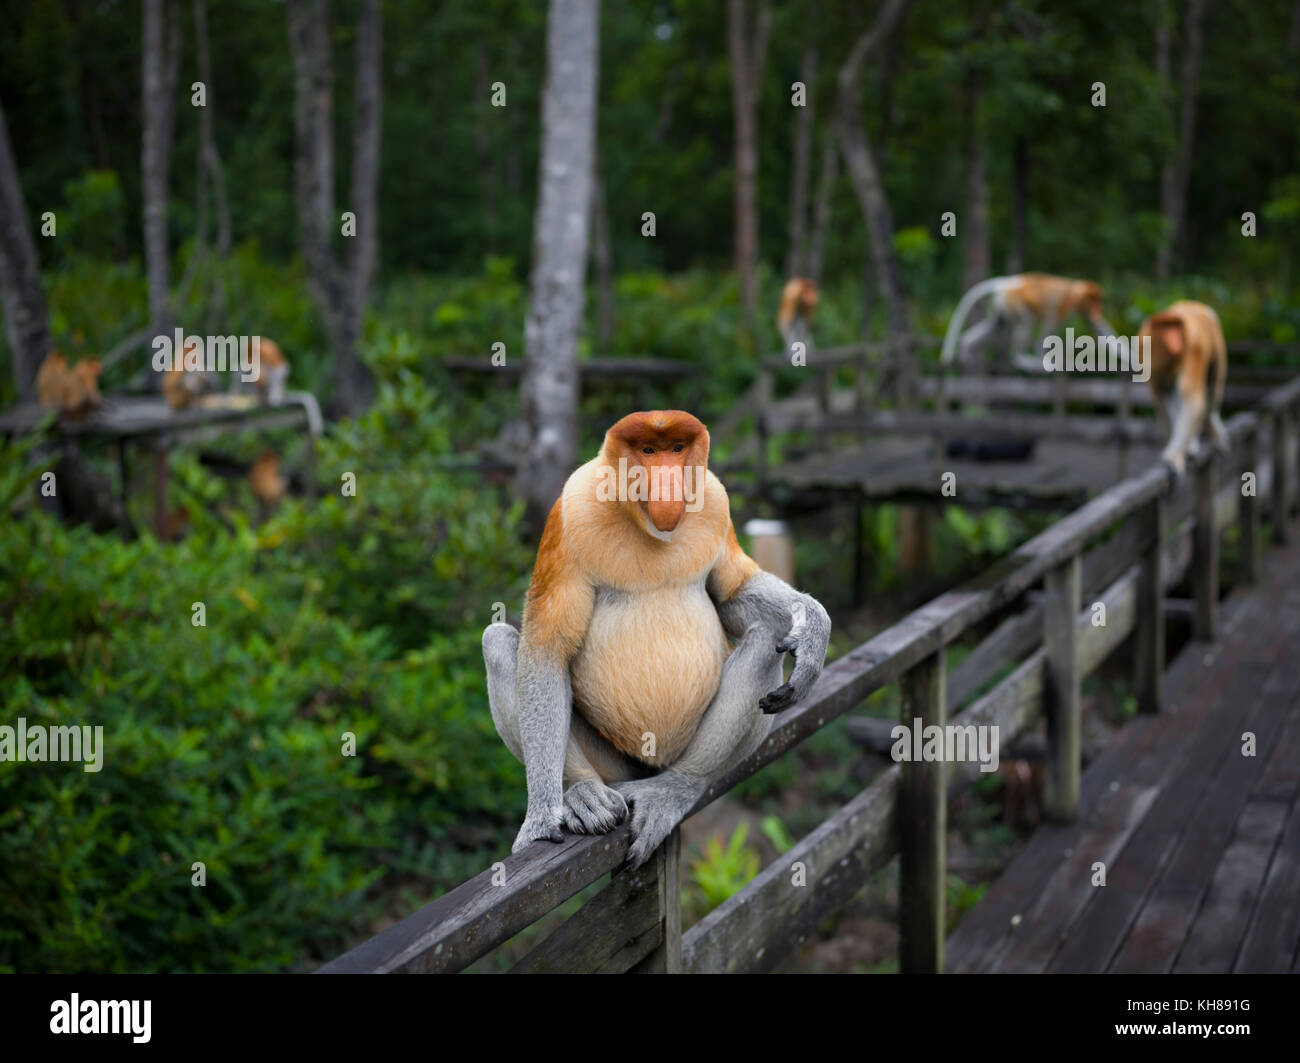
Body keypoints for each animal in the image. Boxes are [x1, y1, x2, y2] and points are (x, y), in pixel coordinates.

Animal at [482, 410, 831, 868]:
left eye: (676, 450)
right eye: (648, 451)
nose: (667, 482)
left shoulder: (715, 500)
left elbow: (733, 595)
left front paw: (814, 628)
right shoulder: (569, 514)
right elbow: (546, 650)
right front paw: (541, 819)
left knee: (763, 642)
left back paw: (675, 788)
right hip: (614, 763)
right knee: (499, 643)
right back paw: (581, 793)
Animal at [940, 273, 1119, 372]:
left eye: (1097, 302)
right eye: (1092, 300)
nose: (1097, 310)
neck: (1074, 291)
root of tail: (1009, 282)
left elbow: (1100, 329)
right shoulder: (1062, 305)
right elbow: (1047, 330)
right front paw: (1044, 362)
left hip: (1003, 305)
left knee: (997, 325)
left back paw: (965, 349)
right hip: (1014, 301)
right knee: (1026, 321)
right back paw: (1022, 360)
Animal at [1138, 300, 1229, 476]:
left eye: (1176, 328)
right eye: (1167, 327)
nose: (1176, 339)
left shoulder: (1193, 348)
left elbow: (1192, 399)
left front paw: (1174, 456)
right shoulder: (1143, 350)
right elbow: (1161, 397)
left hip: (1217, 341)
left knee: (1214, 384)